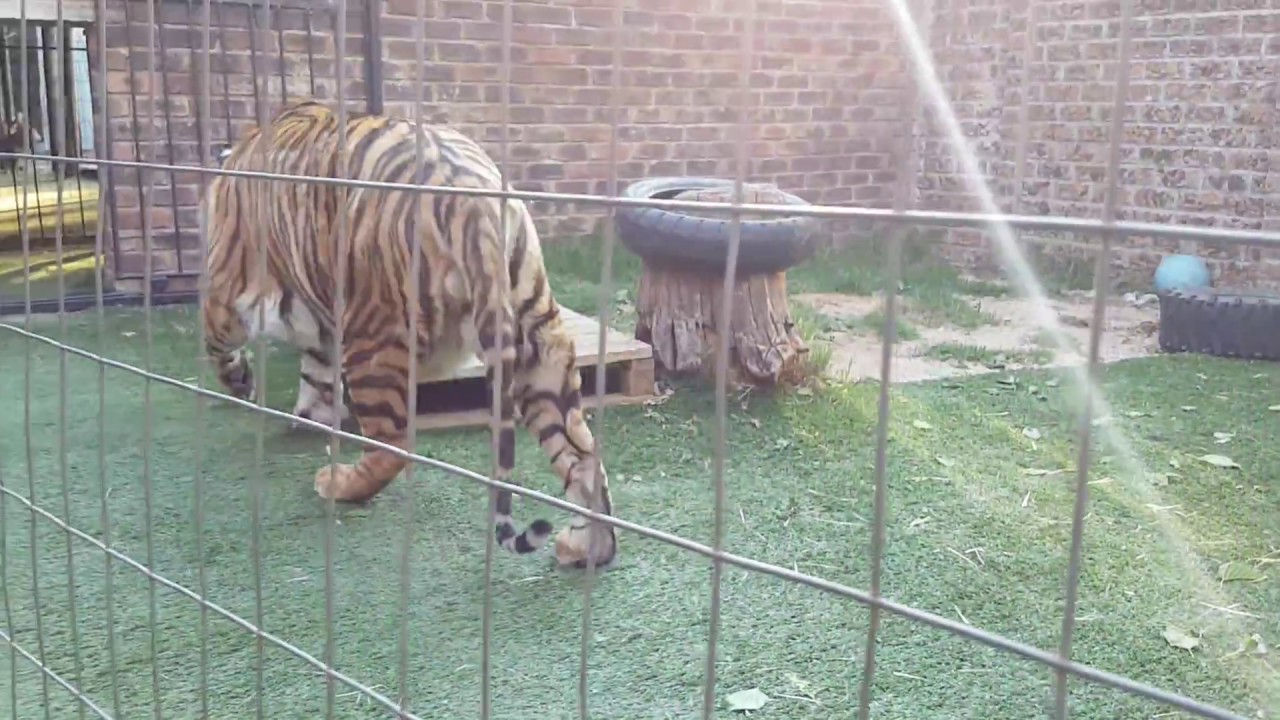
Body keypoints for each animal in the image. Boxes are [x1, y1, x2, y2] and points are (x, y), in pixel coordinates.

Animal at [199, 99, 617, 569]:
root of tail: (472, 202)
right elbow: (316, 372)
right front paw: (311, 416)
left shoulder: (226, 287)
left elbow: (218, 344)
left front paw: (244, 385)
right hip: (536, 336)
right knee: (582, 453)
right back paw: (587, 546)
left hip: (373, 337)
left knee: (391, 445)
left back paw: (337, 483)